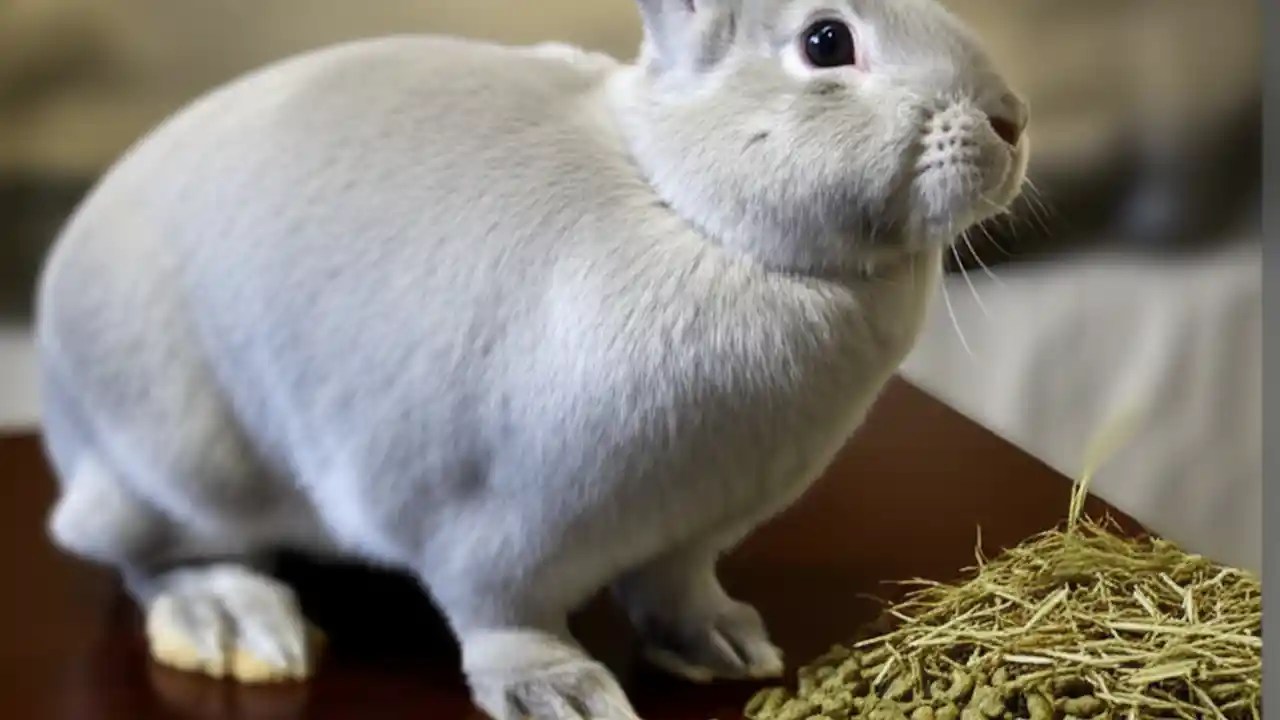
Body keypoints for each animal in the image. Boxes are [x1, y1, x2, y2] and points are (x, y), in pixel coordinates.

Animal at [34, 0, 1028, 717]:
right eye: (827, 41)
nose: (1012, 118)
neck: (685, 204)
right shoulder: (493, 525)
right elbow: (501, 616)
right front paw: (563, 693)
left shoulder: (690, 533)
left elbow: (676, 586)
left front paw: (726, 644)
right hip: (181, 463)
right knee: (137, 554)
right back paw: (234, 624)